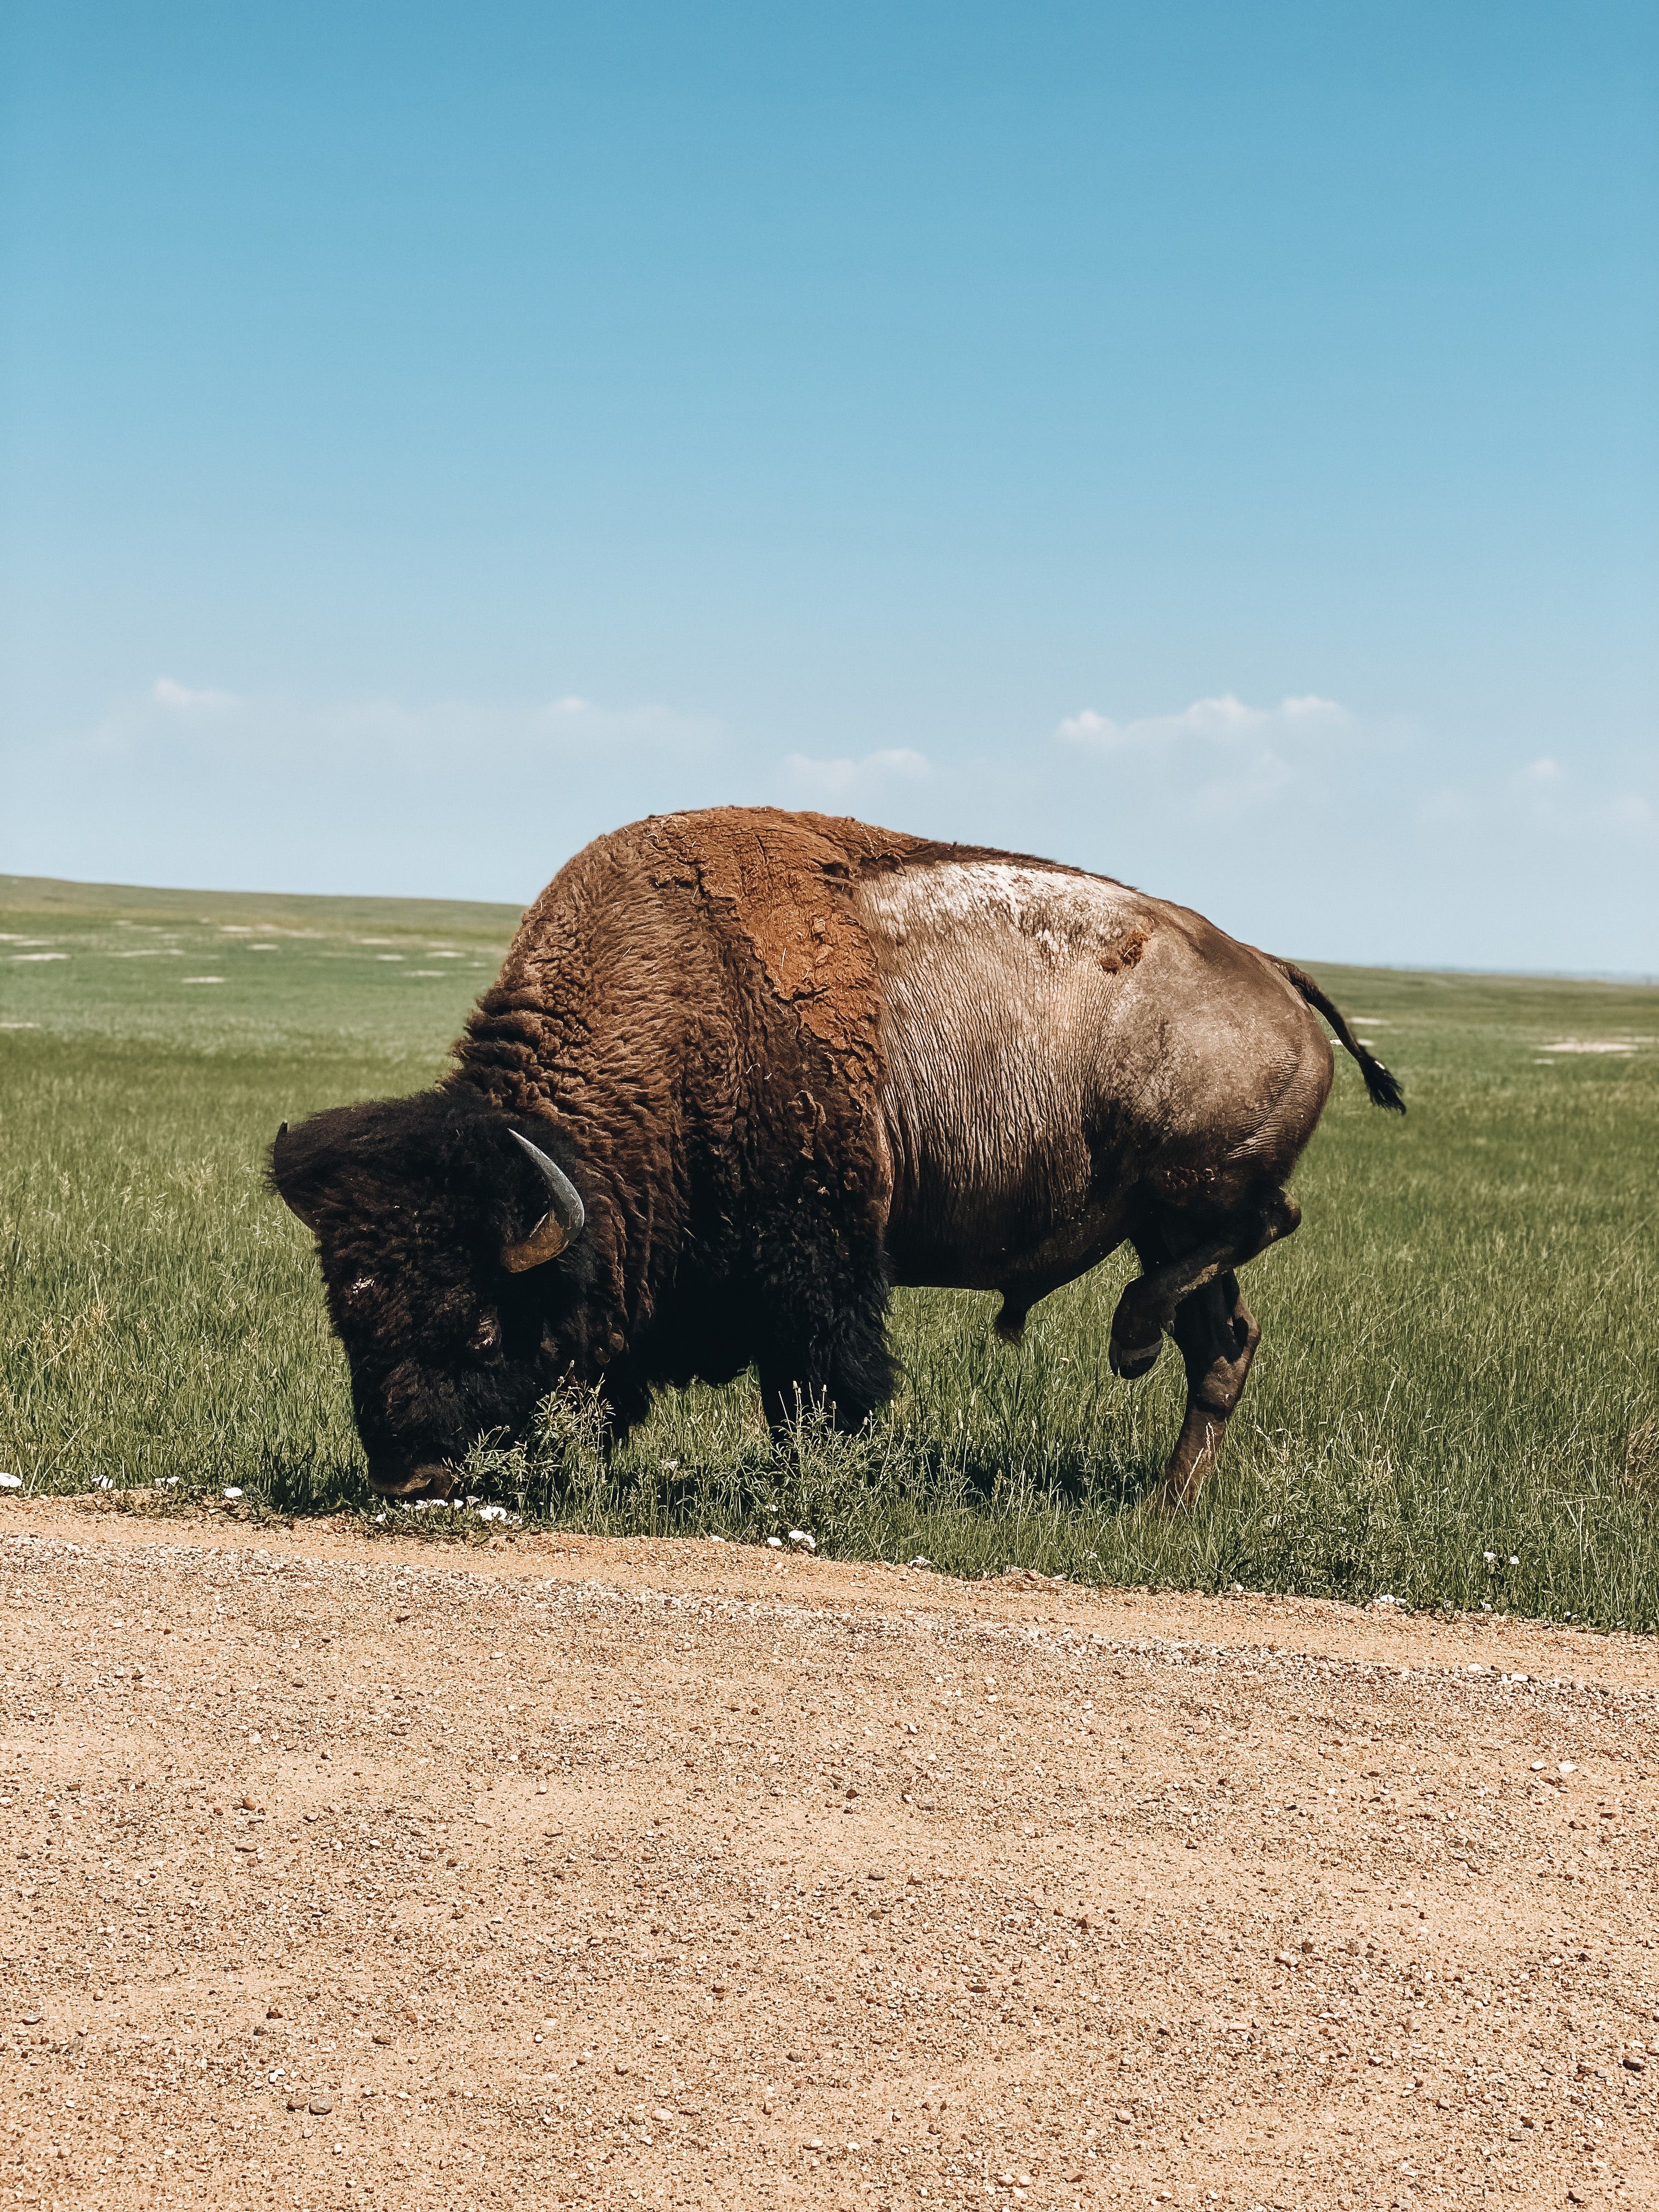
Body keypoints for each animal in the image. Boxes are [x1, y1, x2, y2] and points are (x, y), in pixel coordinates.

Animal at [271, 807, 1401, 1506]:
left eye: (478, 1323)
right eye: (347, 1319)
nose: (410, 1478)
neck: (682, 1008)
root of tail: (1275, 973)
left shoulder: (819, 1260)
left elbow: (819, 1386)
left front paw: (809, 1483)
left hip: (1185, 1187)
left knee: (1258, 1228)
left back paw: (1128, 1348)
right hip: (1165, 1220)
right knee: (1222, 1343)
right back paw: (1160, 1507)